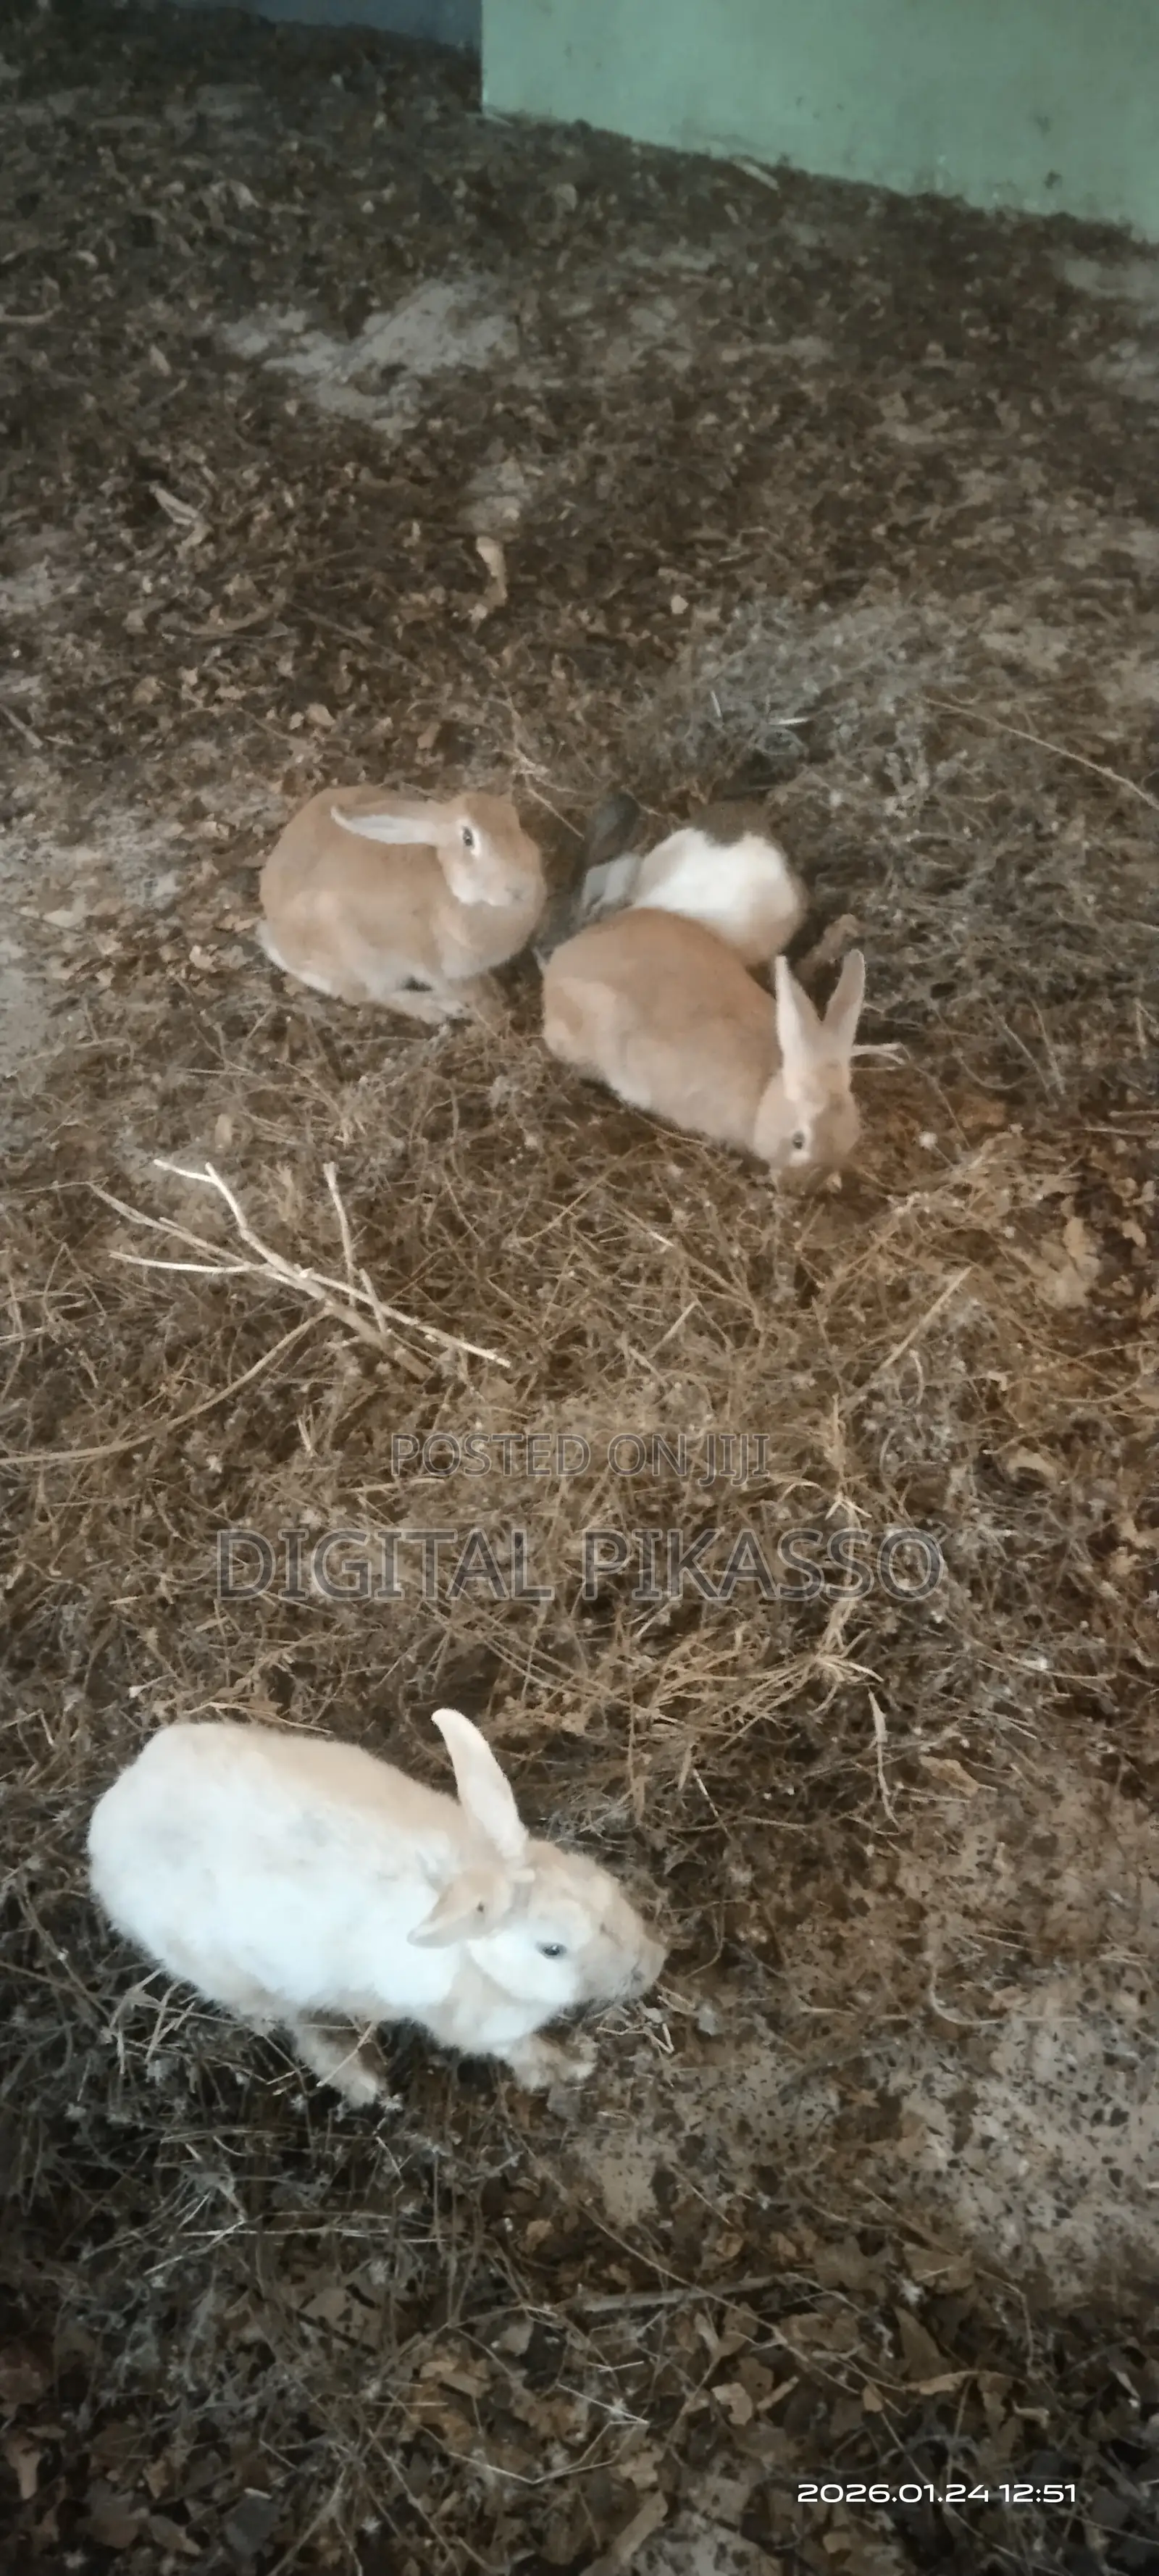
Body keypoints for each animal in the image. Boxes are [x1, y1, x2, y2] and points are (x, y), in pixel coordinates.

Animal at [88, 1708, 667, 2106]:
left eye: (598, 1879)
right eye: (553, 1950)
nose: (650, 1967)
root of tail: (109, 1818)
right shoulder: (479, 2028)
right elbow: (516, 2049)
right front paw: (567, 2067)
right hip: (243, 1982)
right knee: (297, 2026)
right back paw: (360, 2081)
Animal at [257, 785, 546, 1025]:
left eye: (517, 821)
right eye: (467, 839)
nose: (519, 887)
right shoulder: (430, 965)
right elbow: (457, 988)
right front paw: (488, 1011)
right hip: (358, 956)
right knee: (367, 994)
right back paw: (434, 1008)